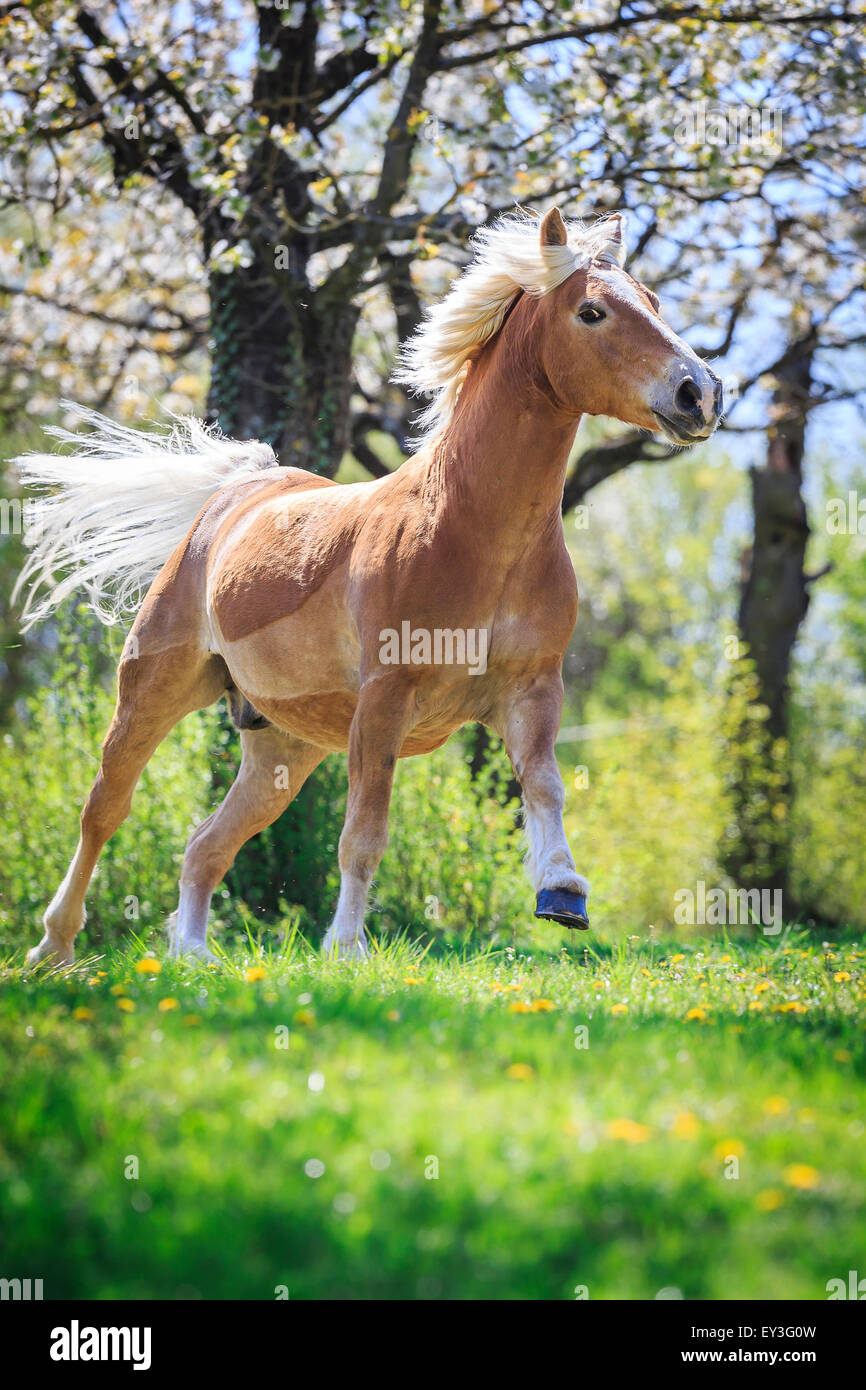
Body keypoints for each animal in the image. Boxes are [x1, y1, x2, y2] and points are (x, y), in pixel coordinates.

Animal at [14, 206, 722, 965]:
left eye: (652, 302)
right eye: (592, 311)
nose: (700, 393)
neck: (471, 531)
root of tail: (232, 496)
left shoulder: (533, 688)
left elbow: (545, 785)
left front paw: (562, 891)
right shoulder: (387, 698)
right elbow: (364, 833)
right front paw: (347, 947)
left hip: (282, 748)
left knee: (206, 845)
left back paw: (194, 957)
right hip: (155, 687)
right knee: (103, 810)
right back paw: (52, 949)